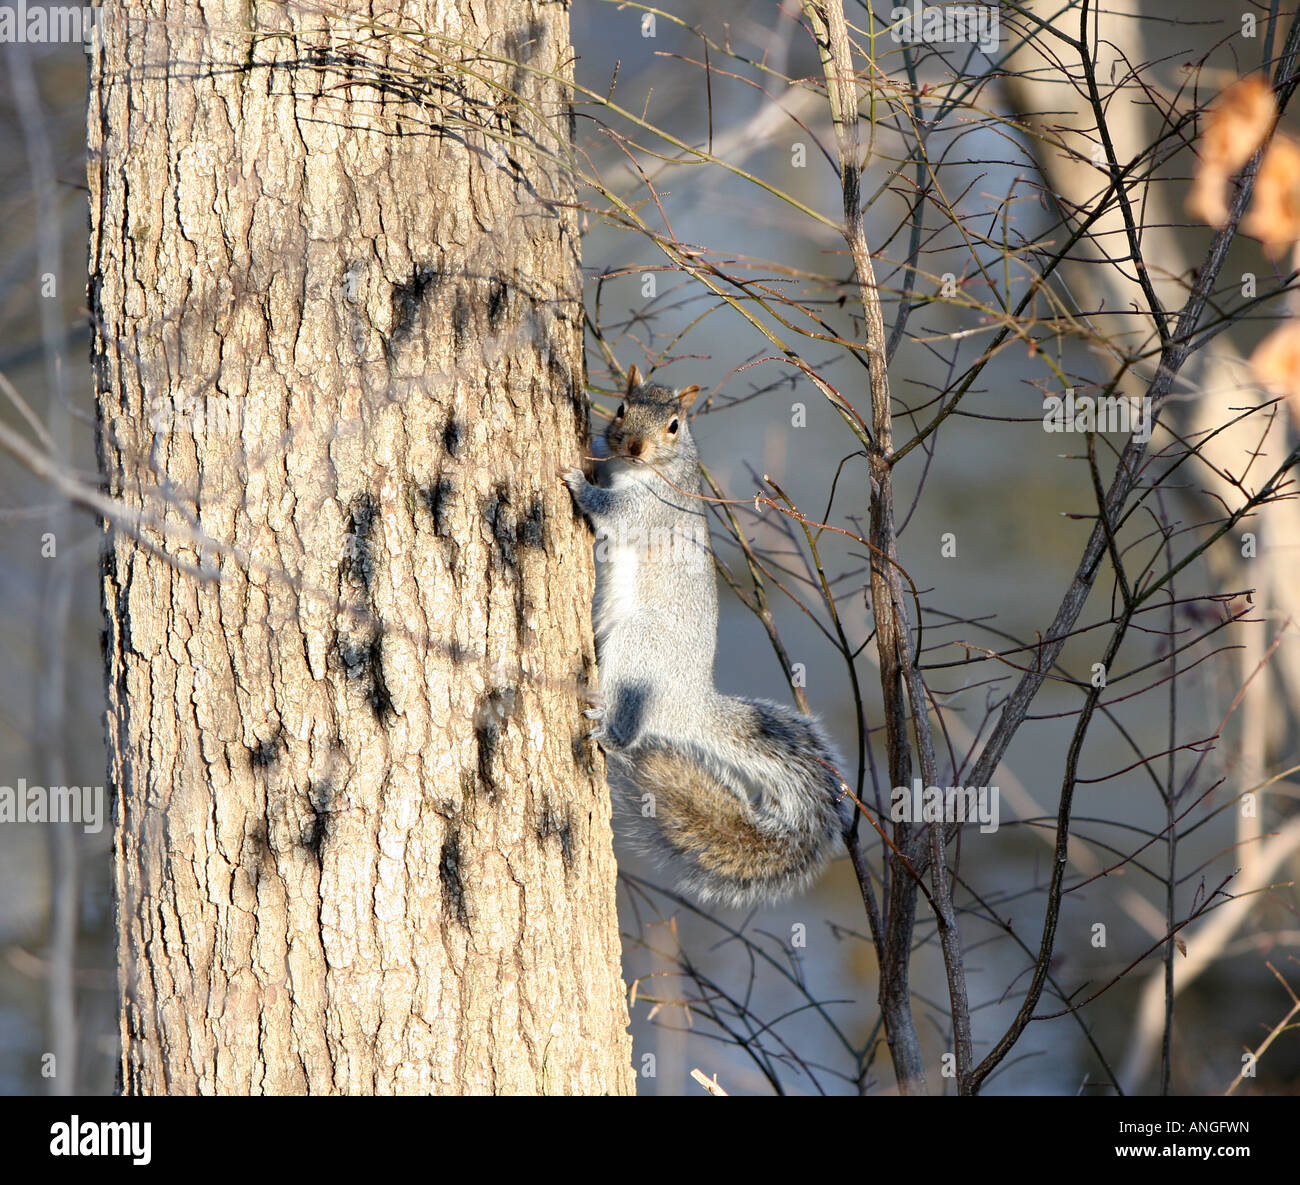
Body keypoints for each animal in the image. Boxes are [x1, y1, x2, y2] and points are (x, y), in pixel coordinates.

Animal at [562, 365, 849, 907]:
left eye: (675, 425)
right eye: (622, 409)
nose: (633, 446)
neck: (636, 471)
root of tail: (689, 703)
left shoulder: (652, 510)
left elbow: (614, 512)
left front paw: (575, 481)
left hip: (641, 644)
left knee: (630, 726)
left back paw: (607, 728)